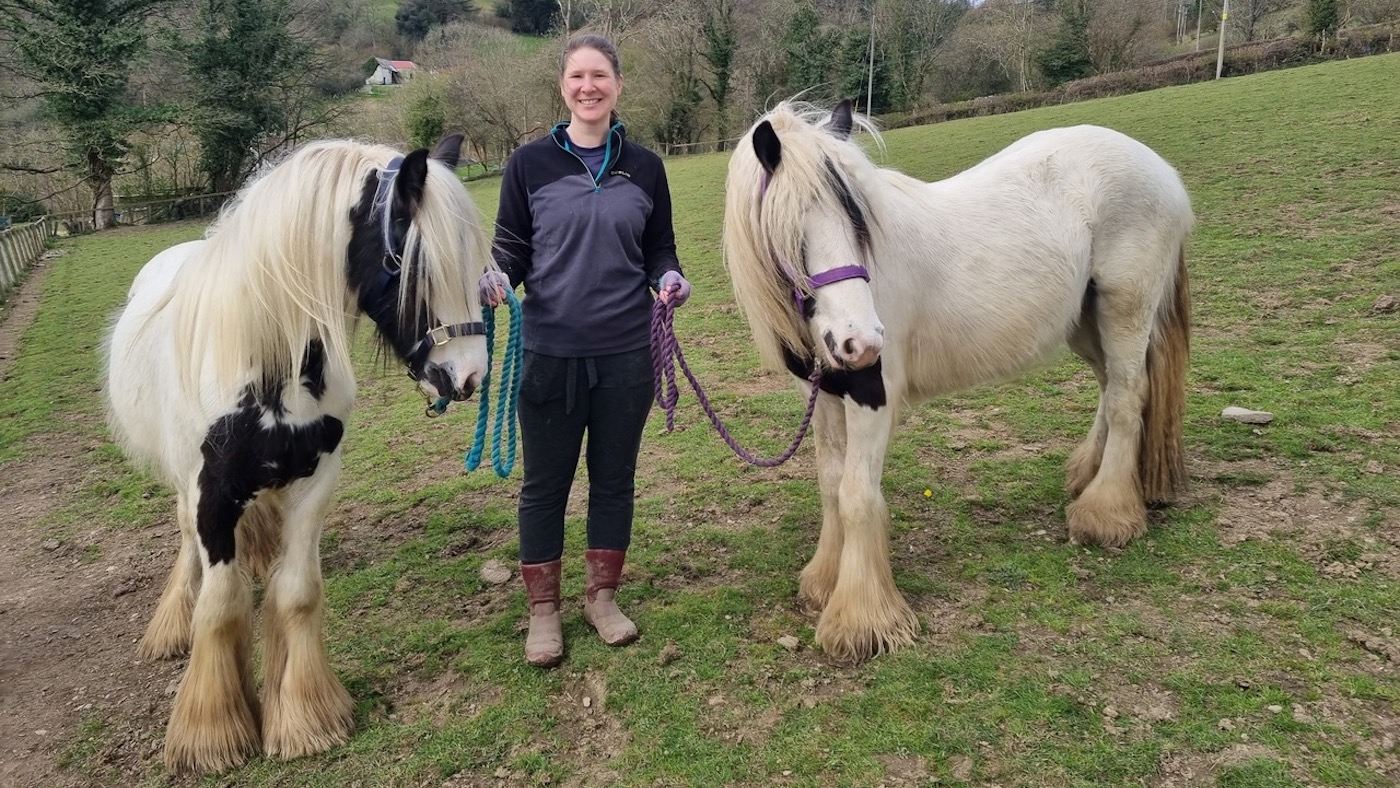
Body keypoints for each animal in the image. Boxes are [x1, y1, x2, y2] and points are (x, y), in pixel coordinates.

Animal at [103, 134, 493, 772]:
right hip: (183, 482)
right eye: (407, 264)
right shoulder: (212, 495)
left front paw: (306, 718)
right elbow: (220, 605)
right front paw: (212, 733)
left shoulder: (314, 483)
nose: (468, 376)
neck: (265, 361)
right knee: (186, 541)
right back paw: (173, 625)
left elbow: (297, 593)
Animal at [722, 101, 1192, 664]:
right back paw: (1087, 476)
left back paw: (1105, 514)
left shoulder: (871, 396)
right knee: (1111, 388)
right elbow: (831, 484)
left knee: (1127, 397)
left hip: (1126, 309)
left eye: (859, 223)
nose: (863, 343)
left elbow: (857, 494)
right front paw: (824, 580)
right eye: (793, 233)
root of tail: (1159, 168)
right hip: (1085, 321)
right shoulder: (828, 397)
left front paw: (861, 620)